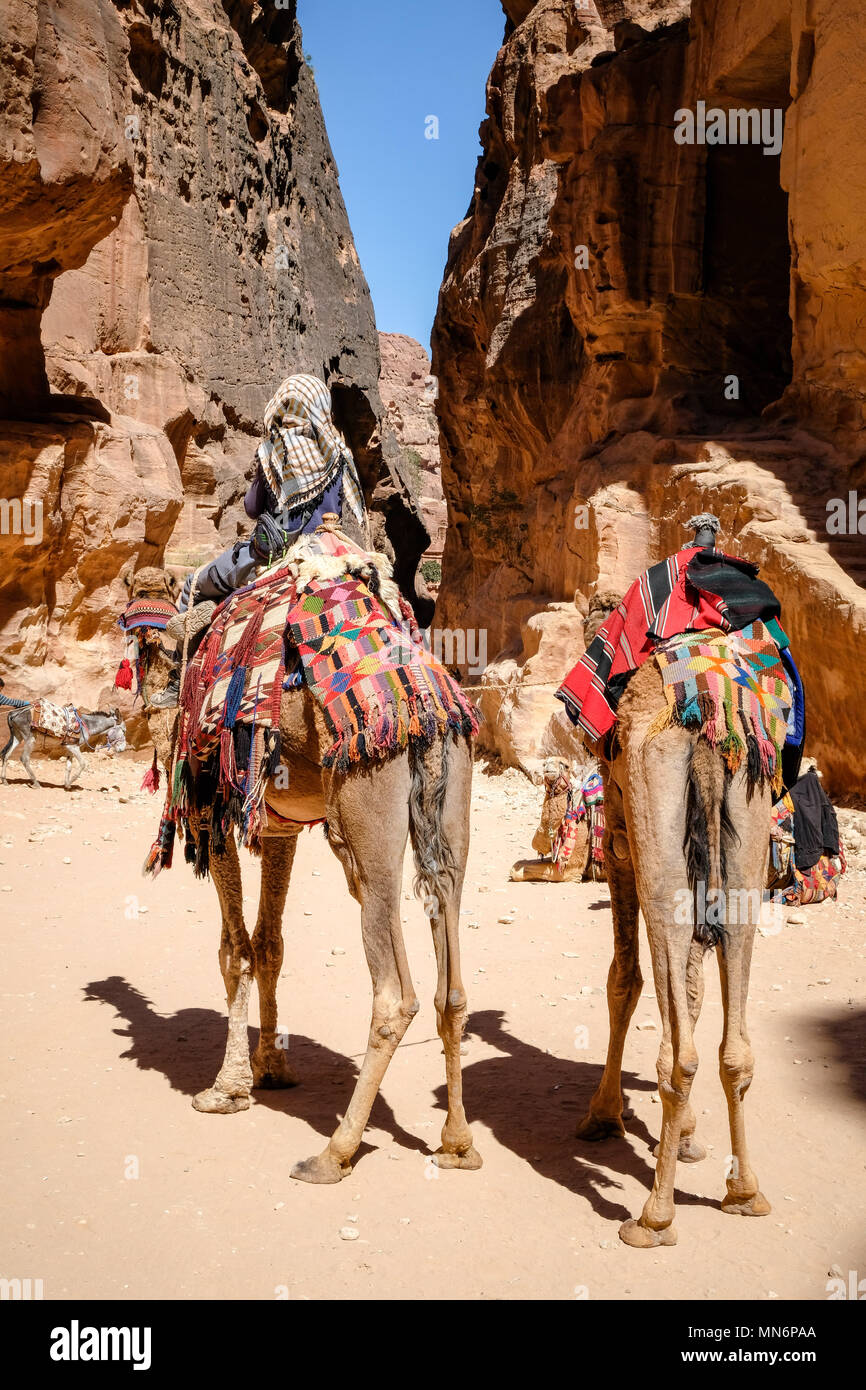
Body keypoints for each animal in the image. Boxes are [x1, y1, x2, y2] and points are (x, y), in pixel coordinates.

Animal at [122, 564, 481, 1184]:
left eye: (145, 648)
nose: (153, 711)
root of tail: (427, 710)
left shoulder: (213, 811)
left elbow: (235, 950)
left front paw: (227, 1088)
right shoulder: (278, 825)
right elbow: (270, 943)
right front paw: (271, 1066)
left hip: (365, 811)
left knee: (394, 992)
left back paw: (333, 1152)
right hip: (451, 808)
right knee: (450, 985)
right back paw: (457, 1144)